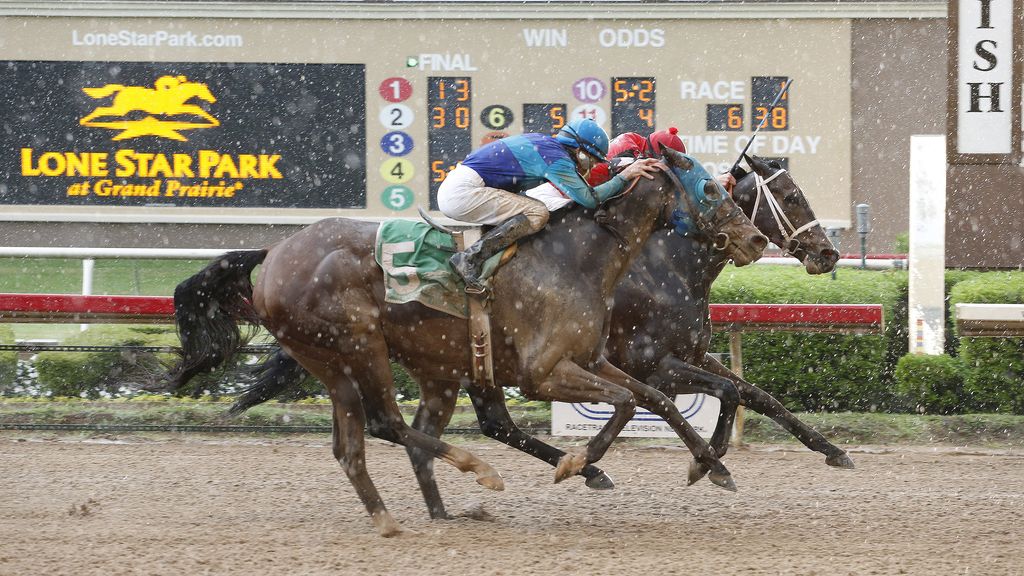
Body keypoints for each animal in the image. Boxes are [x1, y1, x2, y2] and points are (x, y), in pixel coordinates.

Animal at [166, 149, 768, 536]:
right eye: (711, 188)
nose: (757, 239)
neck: (578, 256)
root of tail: (274, 253)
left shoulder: (595, 359)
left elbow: (653, 398)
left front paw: (708, 466)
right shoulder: (544, 372)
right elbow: (625, 403)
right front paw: (579, 463)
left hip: (369, 364)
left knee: (358, 444)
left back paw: (412, 516)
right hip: (359, 346)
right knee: (389, 424)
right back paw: (477, 473)